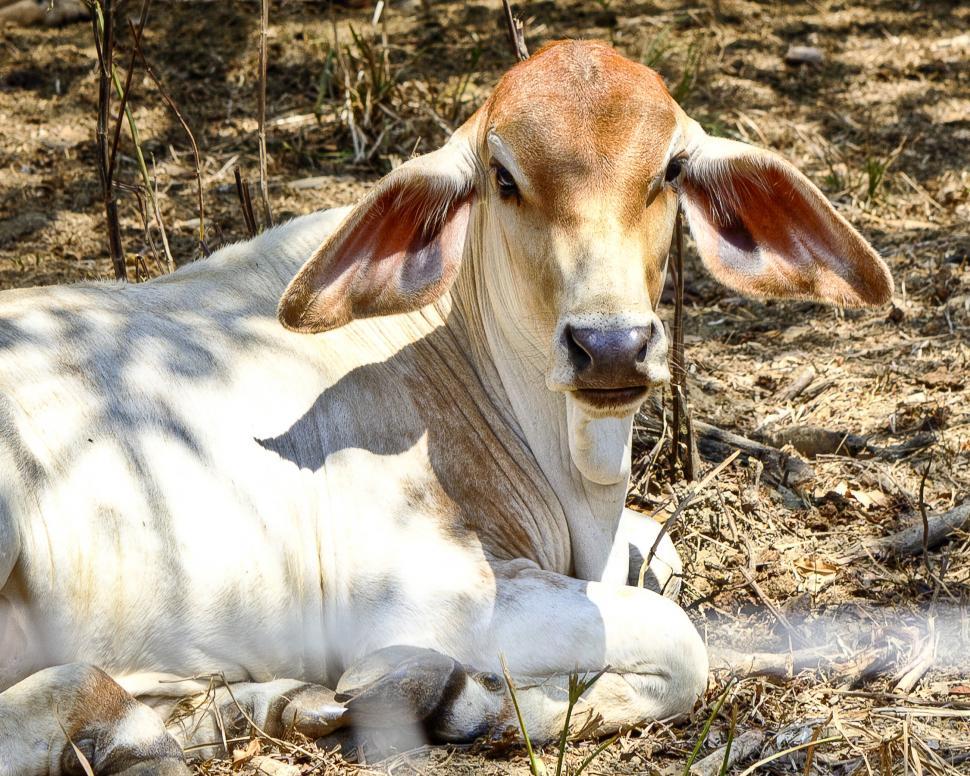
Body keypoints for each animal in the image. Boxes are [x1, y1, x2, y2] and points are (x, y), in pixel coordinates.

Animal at [0, 40, 892, 775]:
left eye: (670, 170)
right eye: (504, 178)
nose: (610, 345)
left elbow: (665, 564)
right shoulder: (427, 600)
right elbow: (682, 645)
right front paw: (486, 706)